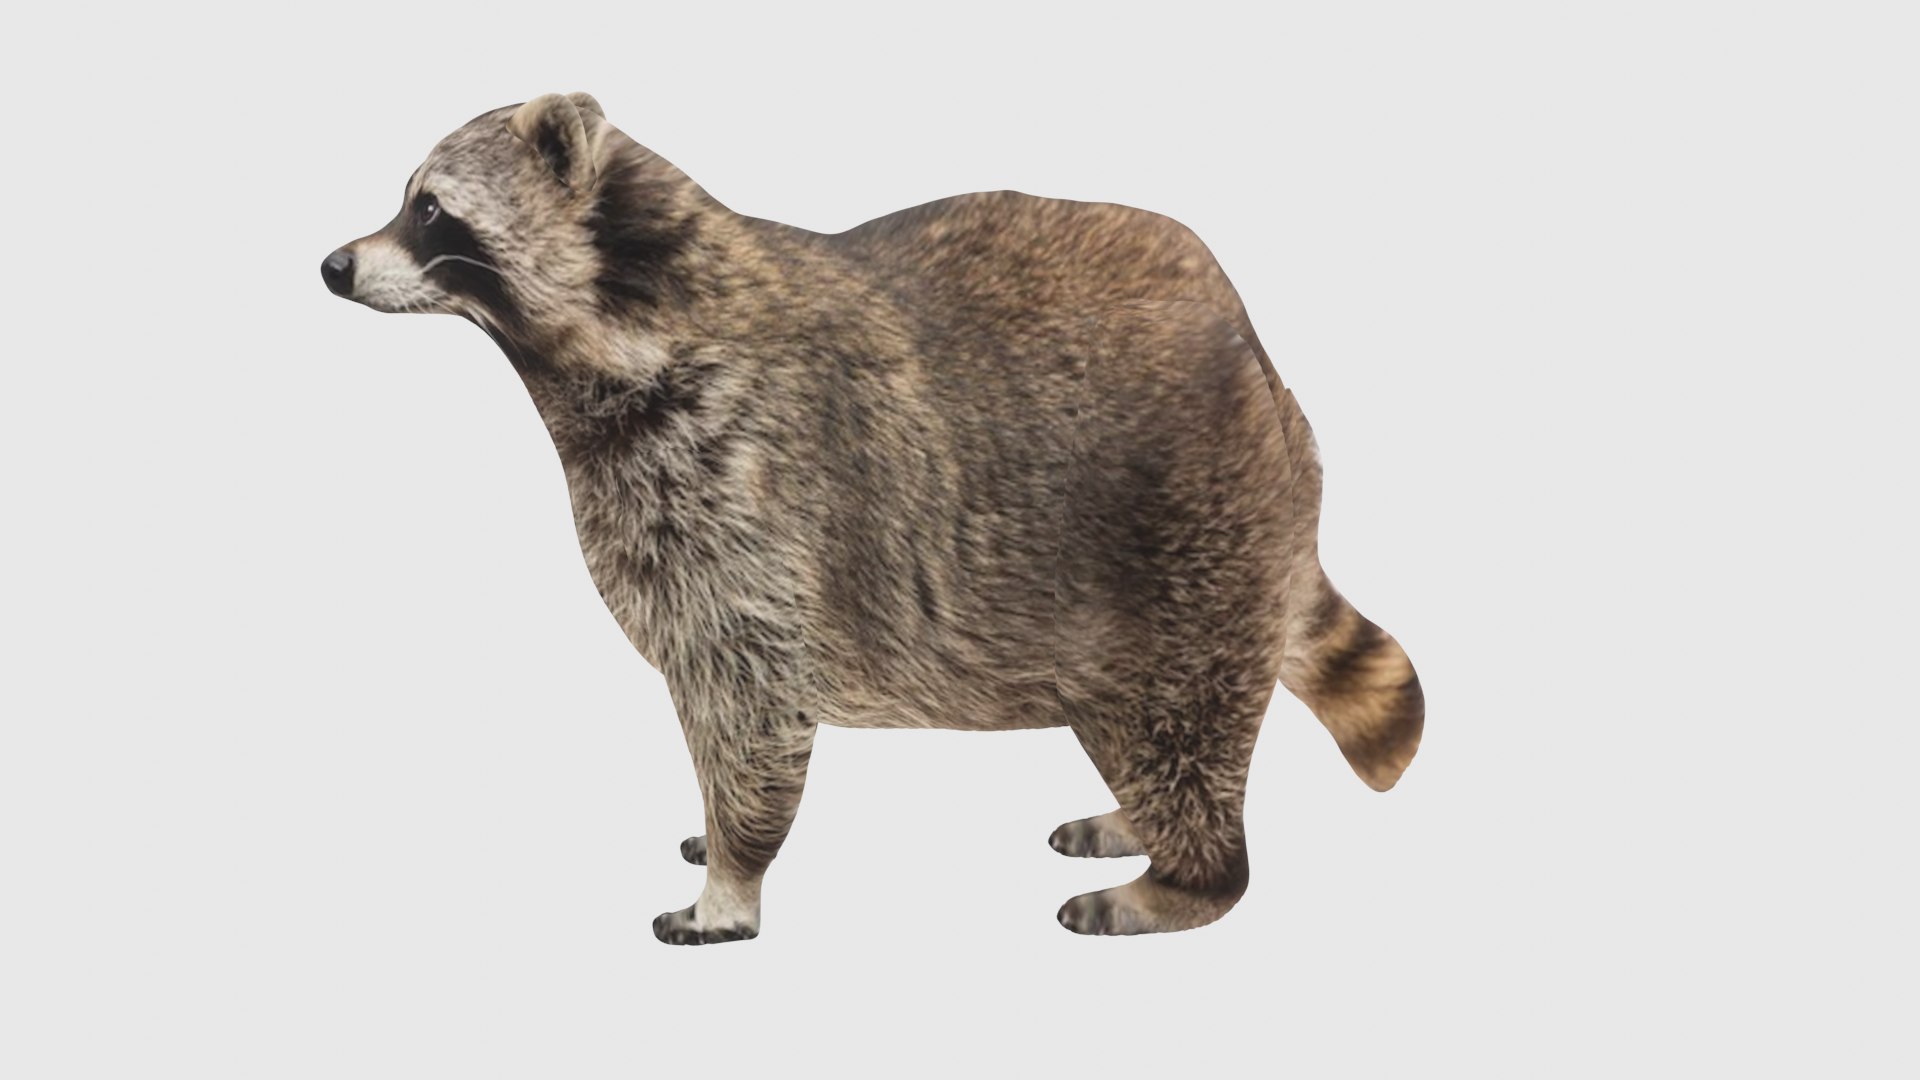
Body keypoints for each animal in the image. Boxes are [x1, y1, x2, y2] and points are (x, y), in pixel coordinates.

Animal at [321, 93, 1423, 944]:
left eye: (430, 209)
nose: (334, 265)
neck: (614, 334)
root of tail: (1261, 361)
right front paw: (713, 828)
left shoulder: (752, 490)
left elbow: (752, 708)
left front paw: (731, 882)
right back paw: (1138, 825)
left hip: (1188, 537)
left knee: (1178, 728)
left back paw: (1184, 878)